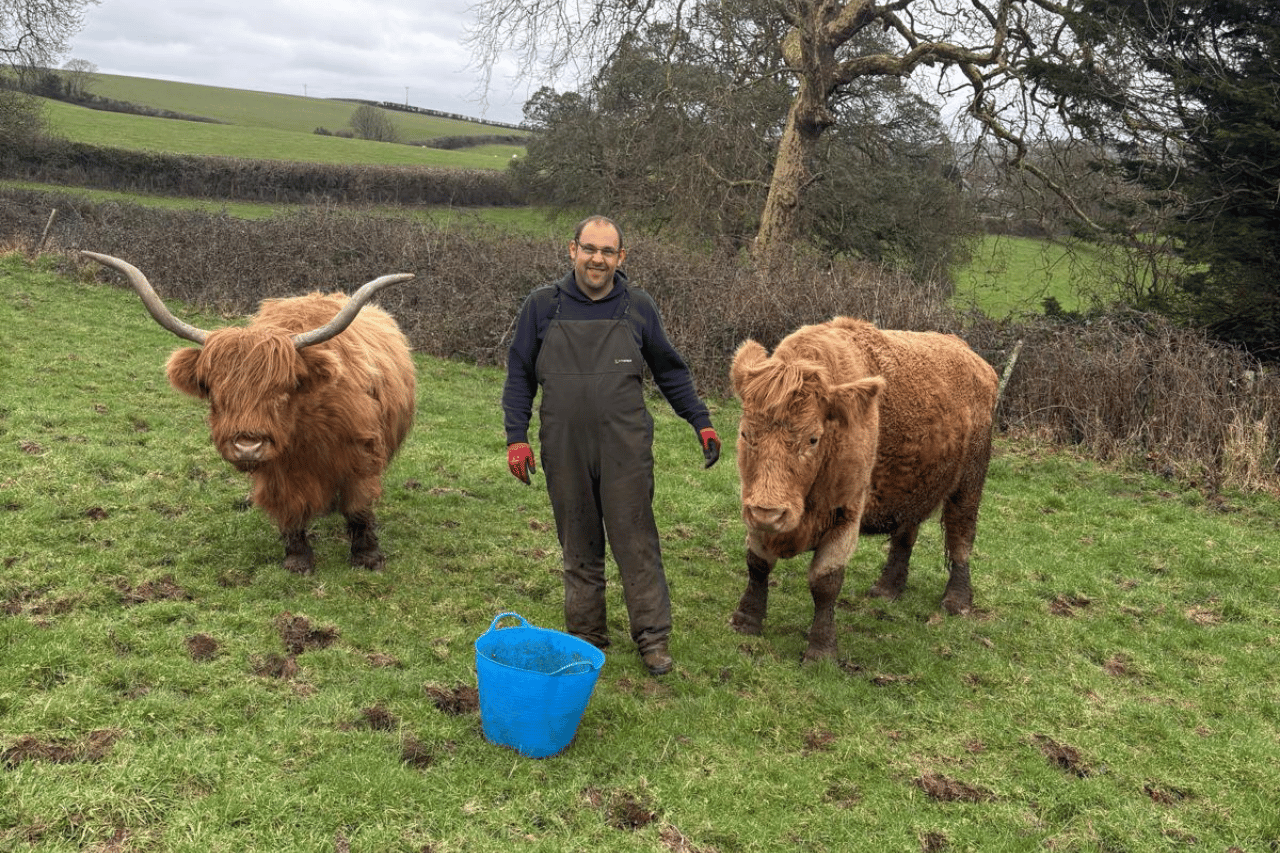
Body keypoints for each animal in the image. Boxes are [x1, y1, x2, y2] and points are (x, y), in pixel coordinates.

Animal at [82, 252, 417, 575]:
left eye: (284, 391)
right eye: (213, 393)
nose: (247, 446)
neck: (305, 431)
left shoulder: (361, 455)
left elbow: (358, 506)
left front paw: (368, 558)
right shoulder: (277, 473)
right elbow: (289, 508)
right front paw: (297, 559)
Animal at [728, 316, 998, 663]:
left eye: (813, 439)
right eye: (746, 433)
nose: (770, 512)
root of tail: (972, 356)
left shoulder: (846, 513)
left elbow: (825, 582)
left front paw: (821, 650)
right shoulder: (755, 508)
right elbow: (758, 564)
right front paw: (746, 620)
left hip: (969, 484)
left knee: (960, 535)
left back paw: (957, 600)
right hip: (913, 485)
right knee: (905, 534)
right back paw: (887, 589)